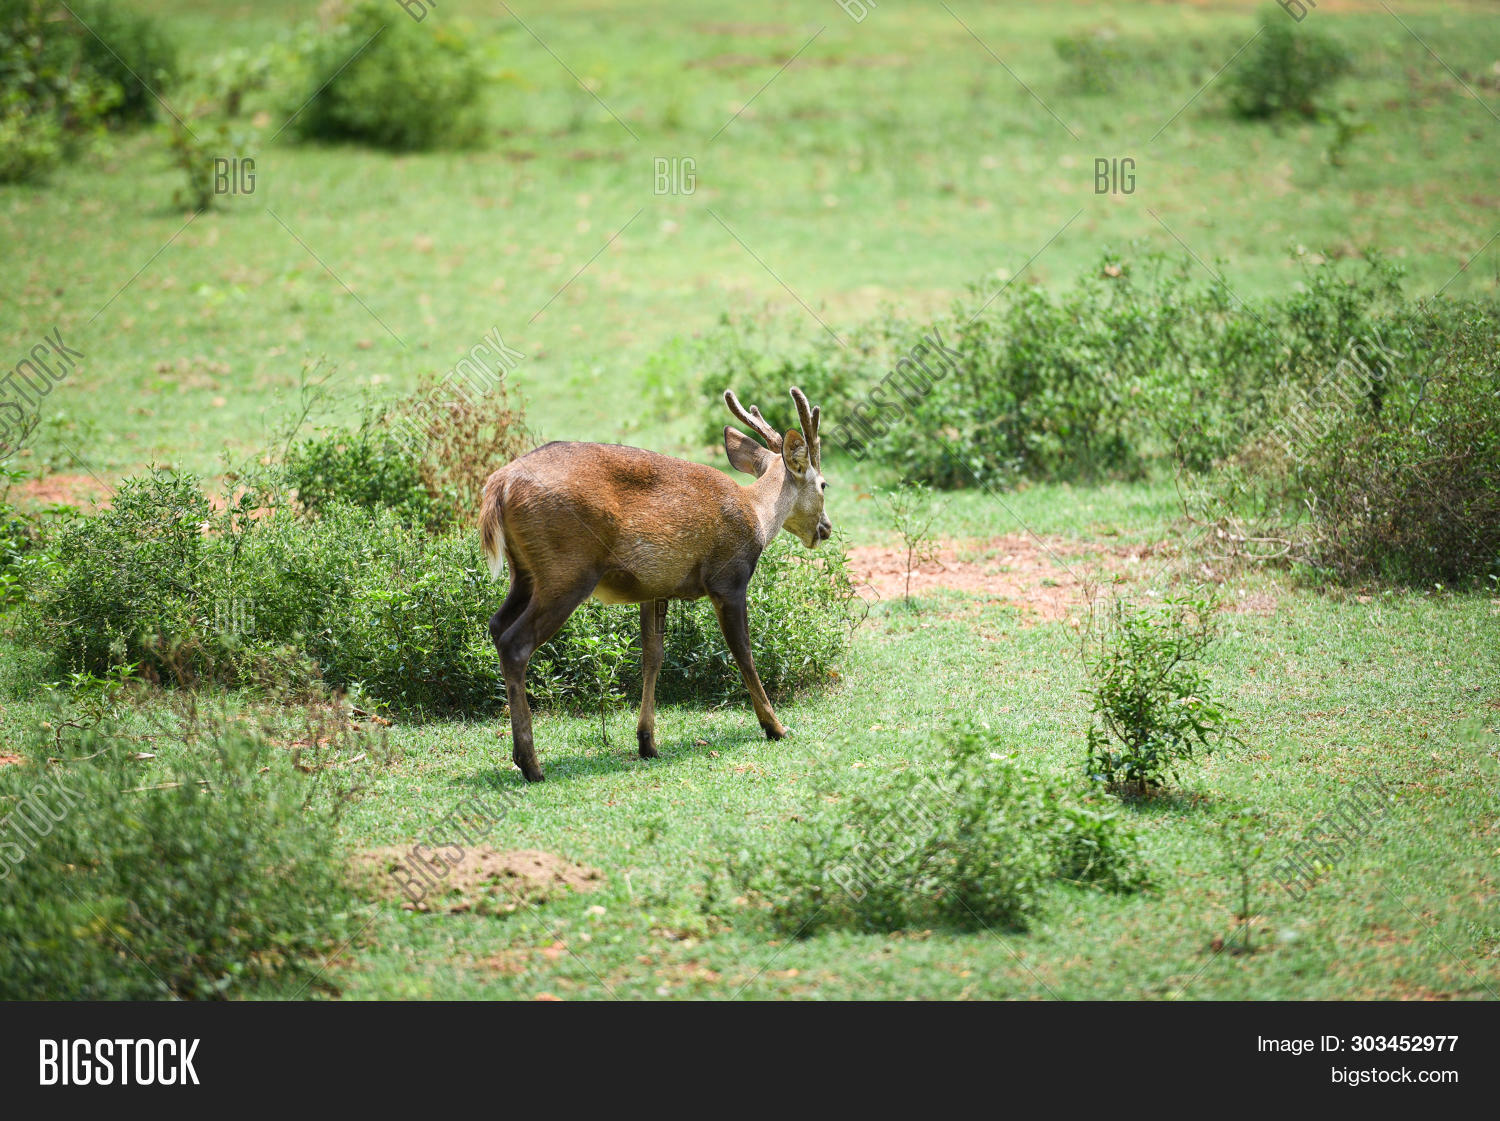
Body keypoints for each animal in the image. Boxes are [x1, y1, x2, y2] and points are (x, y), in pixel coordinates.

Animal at [479, 387, 831, 782]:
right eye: (823, 483)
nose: (826, 529)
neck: (757, 515)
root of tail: (499, 486)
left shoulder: (655, 588)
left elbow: (652, 656)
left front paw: (646, 741)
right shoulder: (728, 578)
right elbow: (743, 653)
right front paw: (775, 726)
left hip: (524, 571)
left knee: (496, 624)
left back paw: (517, 754)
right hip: (567, 570)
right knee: (516, 643)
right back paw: (532, 764)